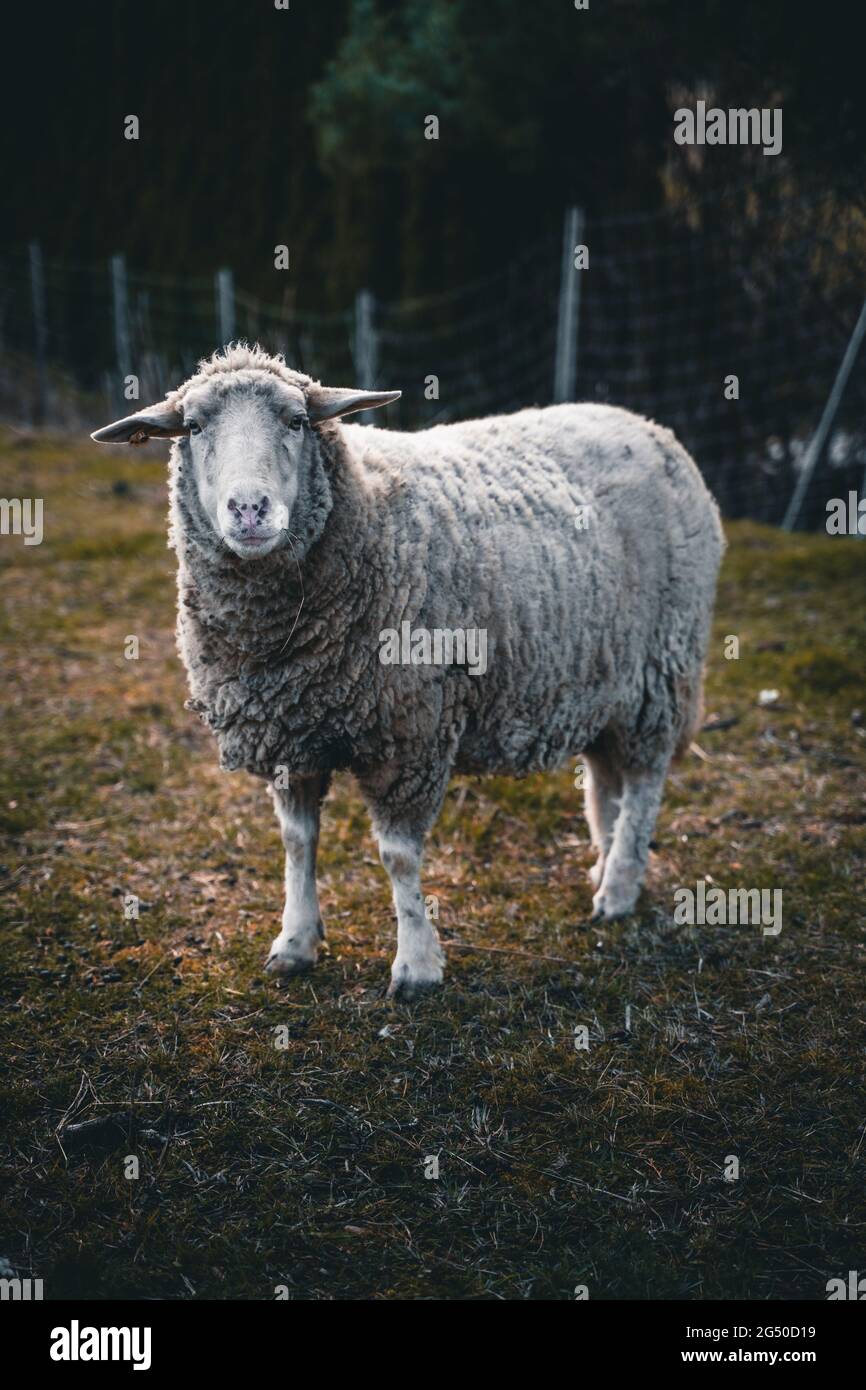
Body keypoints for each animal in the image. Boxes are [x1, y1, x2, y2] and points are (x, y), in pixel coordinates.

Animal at [92, 345, 725, 997]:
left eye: (297, 421)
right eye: (193, 427)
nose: (248, 509)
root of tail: (647, 426)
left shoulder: (410, 731)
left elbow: (398, 856)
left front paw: (417, 964)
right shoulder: (290, 735)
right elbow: (297, 842)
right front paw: (294, 942)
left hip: (663, 668)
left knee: (644, 780)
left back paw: (619, 889)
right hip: (605, 676)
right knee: (606, 775)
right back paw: (604, 865)